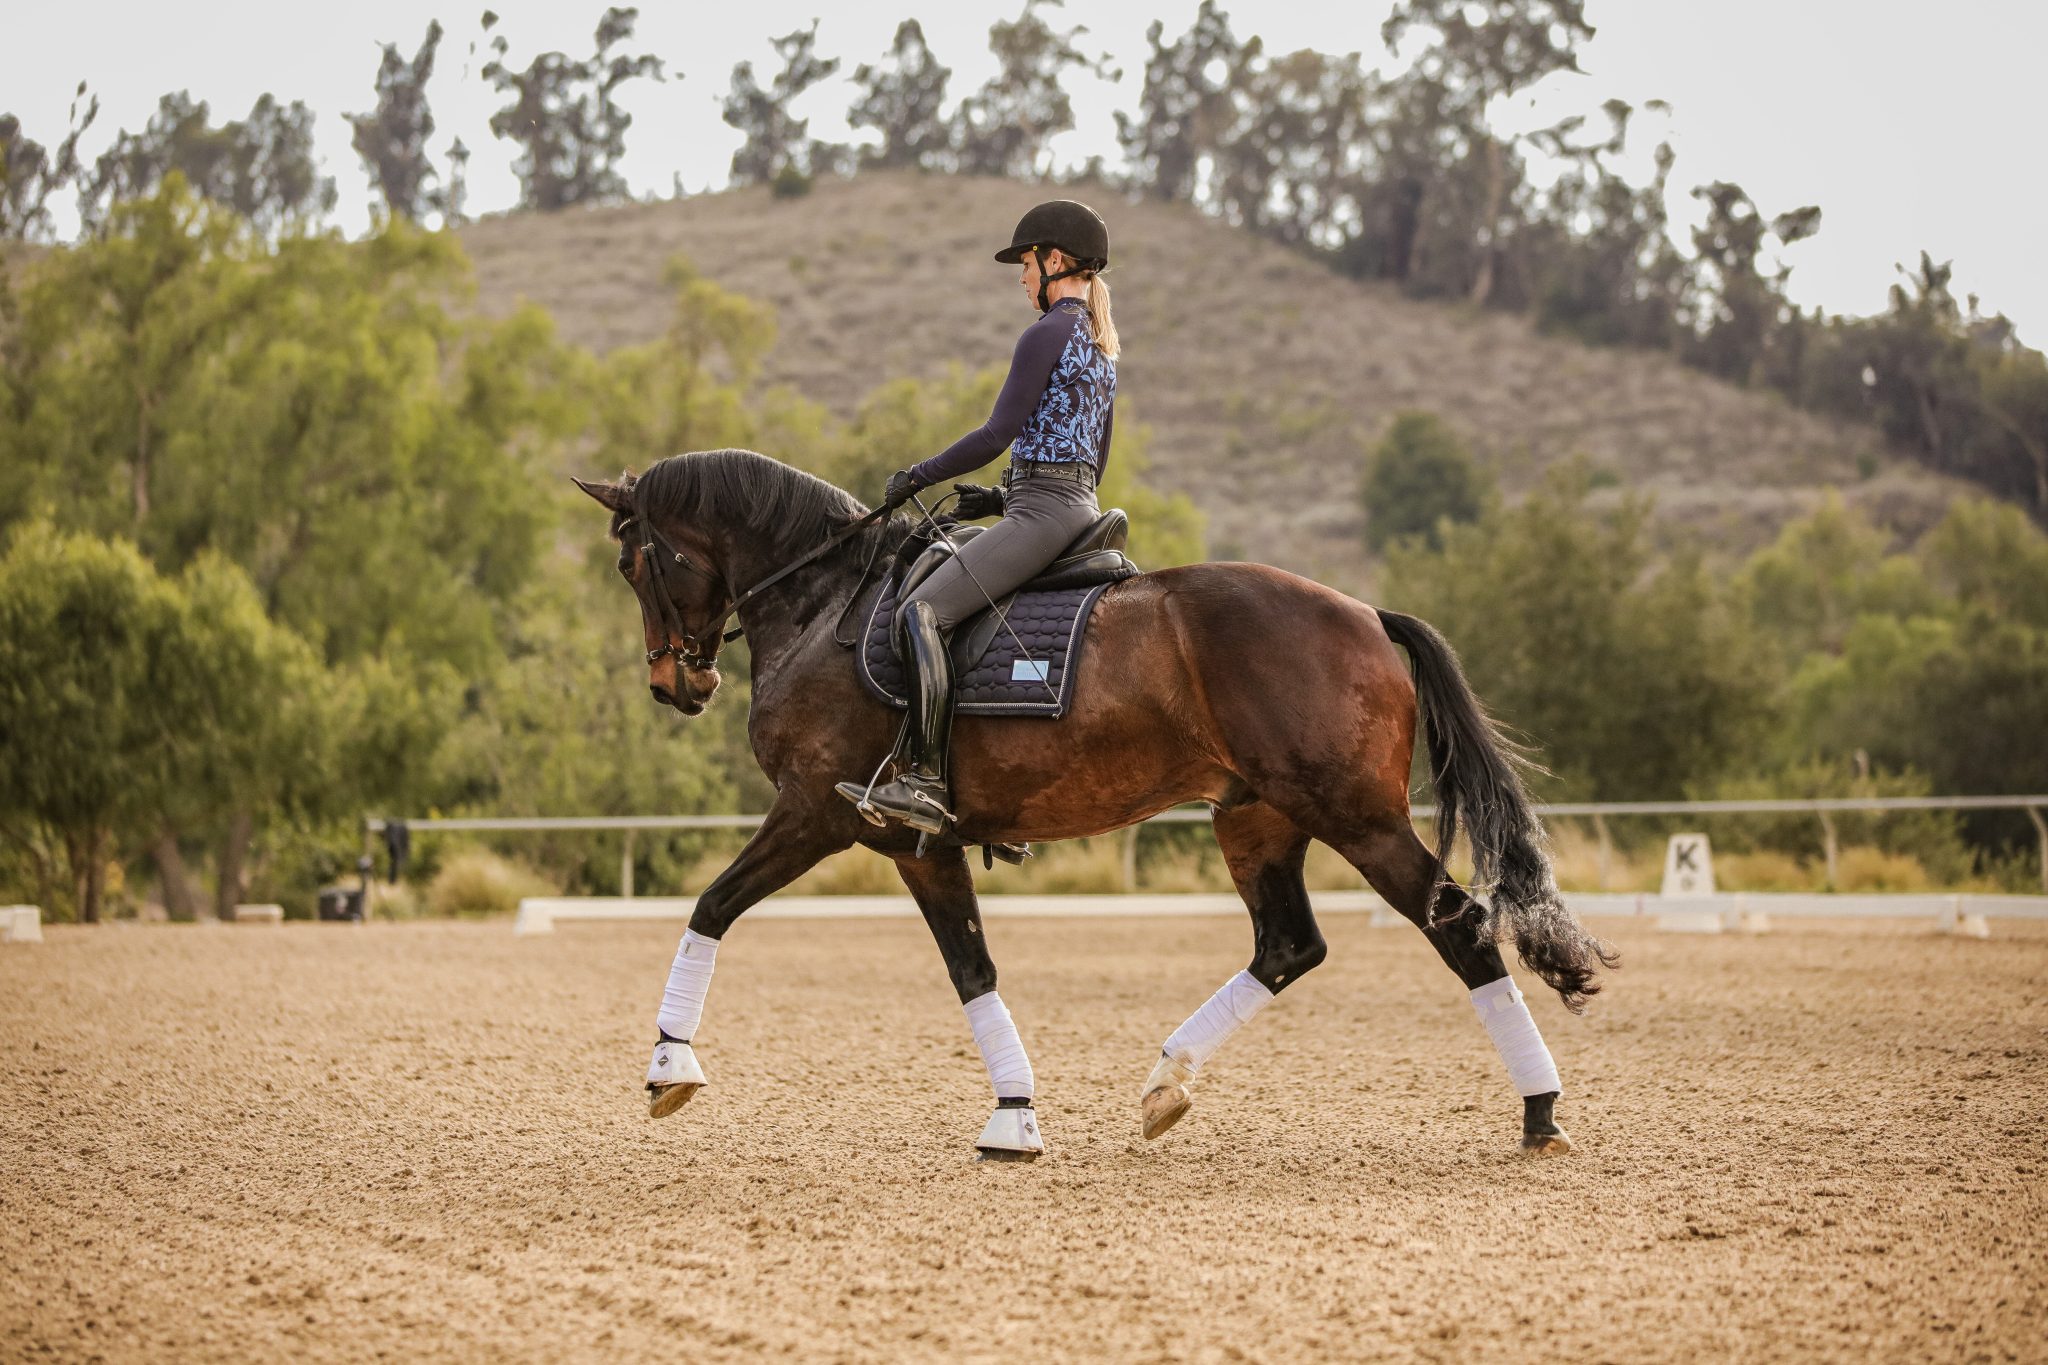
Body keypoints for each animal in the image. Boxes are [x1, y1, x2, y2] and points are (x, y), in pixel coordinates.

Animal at [575, 448, 1615, 1160]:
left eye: (632, 565)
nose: (678, 684)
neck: (827, 599)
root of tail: (1366, 612)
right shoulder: (916, 842)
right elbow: (972, 967)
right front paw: (1014, 1116)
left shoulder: (819, 811)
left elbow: (712, 904)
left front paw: (669, 1065)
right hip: (1256, 816)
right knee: (1289, 944)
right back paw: (1164, 1085)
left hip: (1355, 817)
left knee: (1462, 931)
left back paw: (1541, 1113)